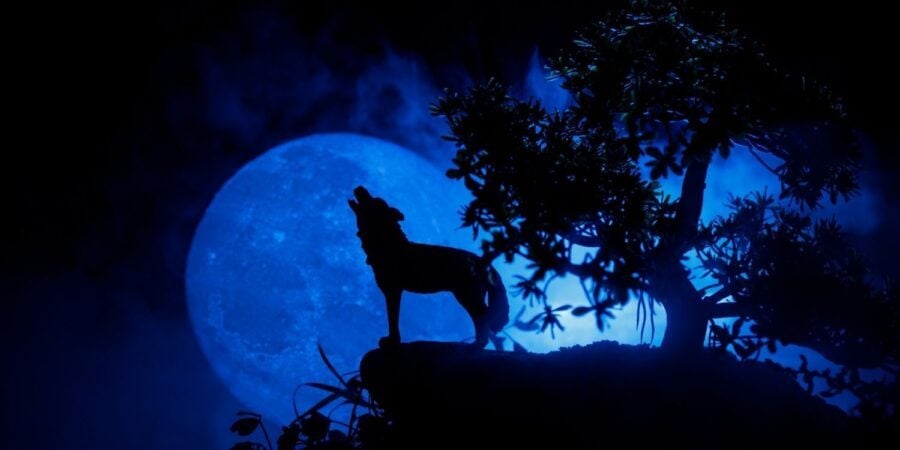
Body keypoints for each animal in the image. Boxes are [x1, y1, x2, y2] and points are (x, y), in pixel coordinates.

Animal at [348, 186, 508, 349]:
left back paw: (474, 345)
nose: (360, 187)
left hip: (467, 297)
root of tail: (481, 260)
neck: (387, 242)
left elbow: (393, 319)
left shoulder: (393, 291)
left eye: (374, 200)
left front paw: (393, 341)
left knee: (485, 319)